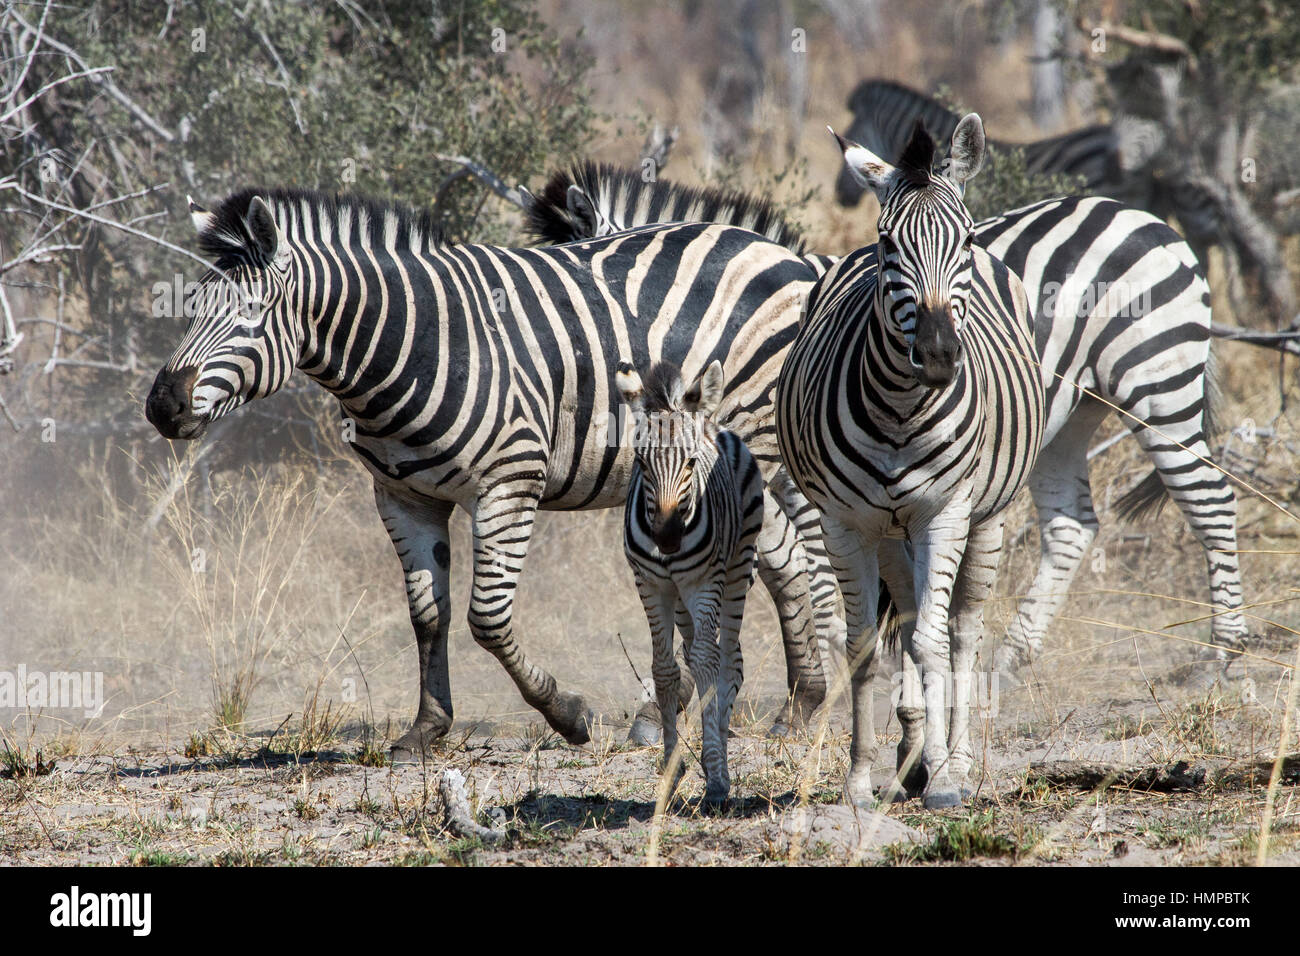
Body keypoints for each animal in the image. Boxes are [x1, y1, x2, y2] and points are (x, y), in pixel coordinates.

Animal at [144, 188, 830, 760]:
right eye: (190, 311)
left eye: (251, 313)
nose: (162, 406)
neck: (409, 345)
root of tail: (781, 251)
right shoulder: (402, 496)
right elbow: (429, 615)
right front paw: (426, 729)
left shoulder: (509, 483)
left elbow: (487, 618)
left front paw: (569, 714)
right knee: (786, 559)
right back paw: (797, 703)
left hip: (750, 445)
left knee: (779, 558)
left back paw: (781, 702)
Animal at [526, 162, 1252, 673]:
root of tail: (1143, 217)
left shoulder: (790, 471)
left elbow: (807, 573)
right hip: (1066, 422)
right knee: (1073, 524)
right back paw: (1010, 661)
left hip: (1157, 385)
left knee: (1212, 503)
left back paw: (1224, 659)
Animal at [618, 359, 764, 807]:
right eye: (641, 464)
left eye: (691, 462)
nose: (667, 538)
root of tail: (713, 423)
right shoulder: (651, 585)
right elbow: (664, 669)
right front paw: (670, 771)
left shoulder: (704, 581)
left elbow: (706, 662)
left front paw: (716, 777)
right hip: (681, 595)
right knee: (696, 651)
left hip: (735, 570)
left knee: (726, 660)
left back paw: (719, 765)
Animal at [776, 116, 1046, 808]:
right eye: (887, 243)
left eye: (966, 239)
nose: (939, 355)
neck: (899, 407)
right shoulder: (845, 523)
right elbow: (862, 646)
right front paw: (860, 780)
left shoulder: (943, 513)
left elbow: (930, 641)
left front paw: (946, 780)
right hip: (891, 532)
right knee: (903, 612)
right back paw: (913, 755)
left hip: (987, 519)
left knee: (961, 631)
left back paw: (953, 759)